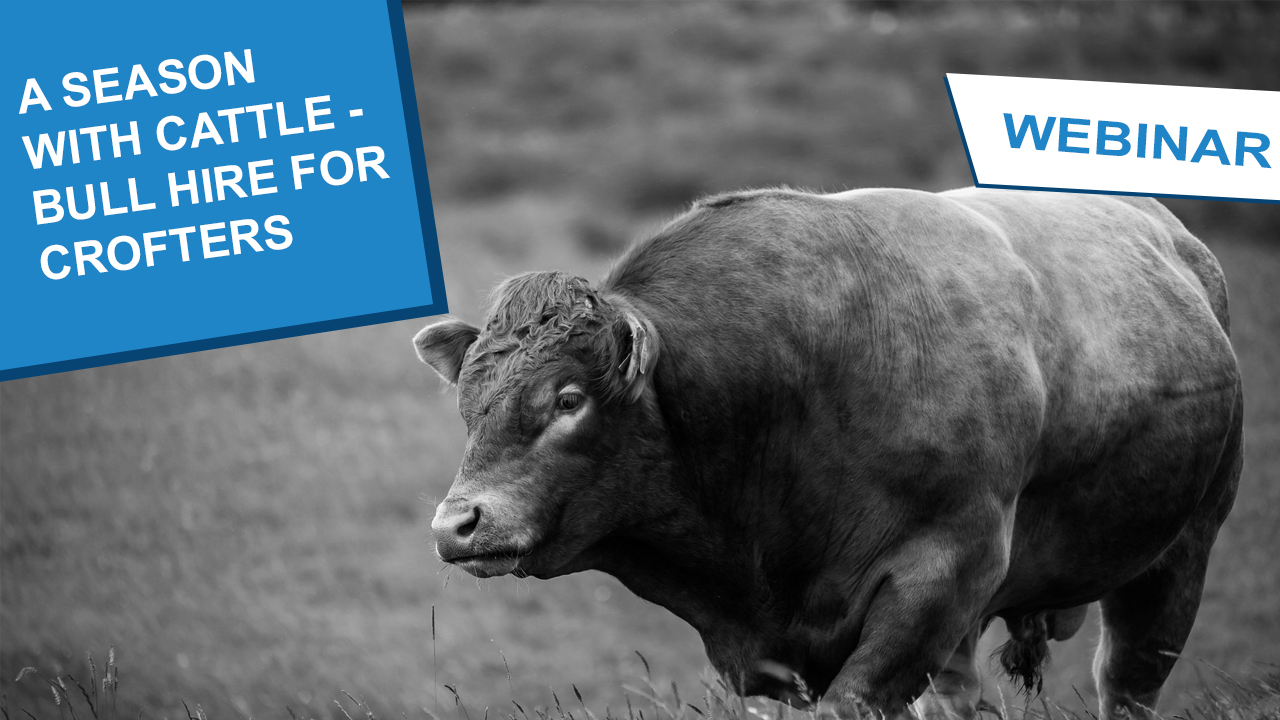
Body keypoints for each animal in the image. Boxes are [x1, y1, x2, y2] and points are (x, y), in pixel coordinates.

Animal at [413, 187, 1243, 720]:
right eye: (468, 403)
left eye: (568, 399)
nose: (456, 524)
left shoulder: (940, 578)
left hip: (1179, 554)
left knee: (1129, 679)